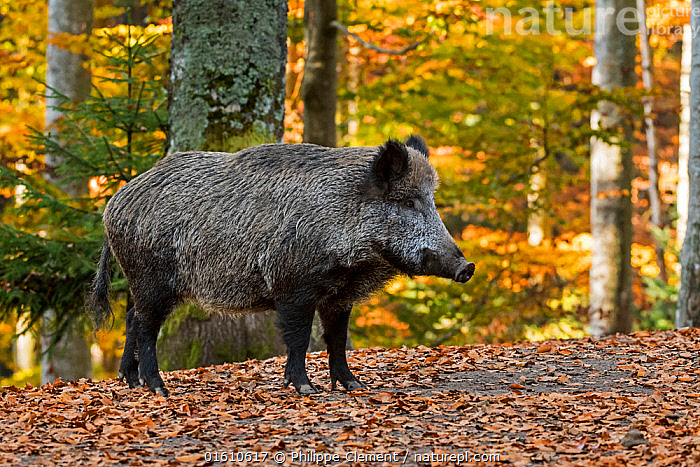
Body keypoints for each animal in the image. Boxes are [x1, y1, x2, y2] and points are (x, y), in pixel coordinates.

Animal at [88, 135, 475, 396]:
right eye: (407, 202)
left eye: (432, 201)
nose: (467, 267)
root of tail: (113, 205)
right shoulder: (293, 285)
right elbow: (299, 337)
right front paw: (305, 389)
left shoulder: (339, 296)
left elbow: (337, 338)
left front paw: (353, 385)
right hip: (152, 277)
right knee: (145, 326)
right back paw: (158, 389)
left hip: (143, 282)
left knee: (131, 318)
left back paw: (131, 382)